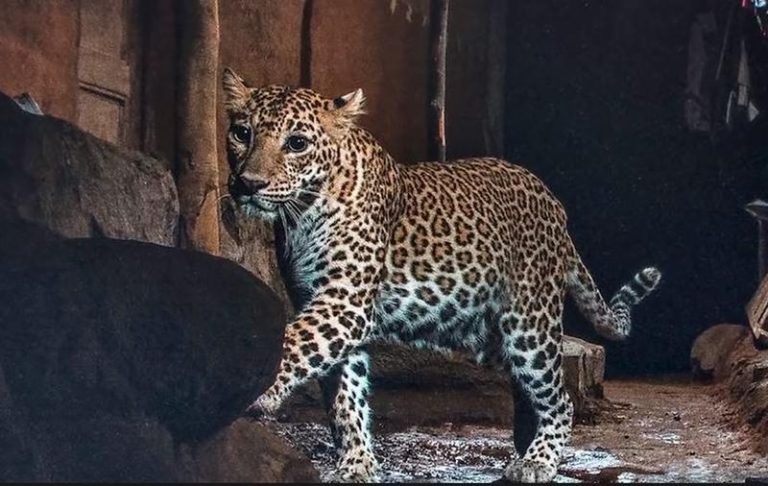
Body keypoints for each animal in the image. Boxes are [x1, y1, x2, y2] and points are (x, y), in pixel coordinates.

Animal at [222, 67, 662, 483]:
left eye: (296, 143)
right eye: (242, 134)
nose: (249, 184)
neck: (301, 213)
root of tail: (555, 205)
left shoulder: (344, 303)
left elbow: (293, 344)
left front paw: (259, 392)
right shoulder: (329, 306)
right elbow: (346, 394)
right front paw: (357, 463)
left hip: (528, 324)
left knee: (559, 397)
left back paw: (538, 461)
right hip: (488, 333)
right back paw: (524, 444)